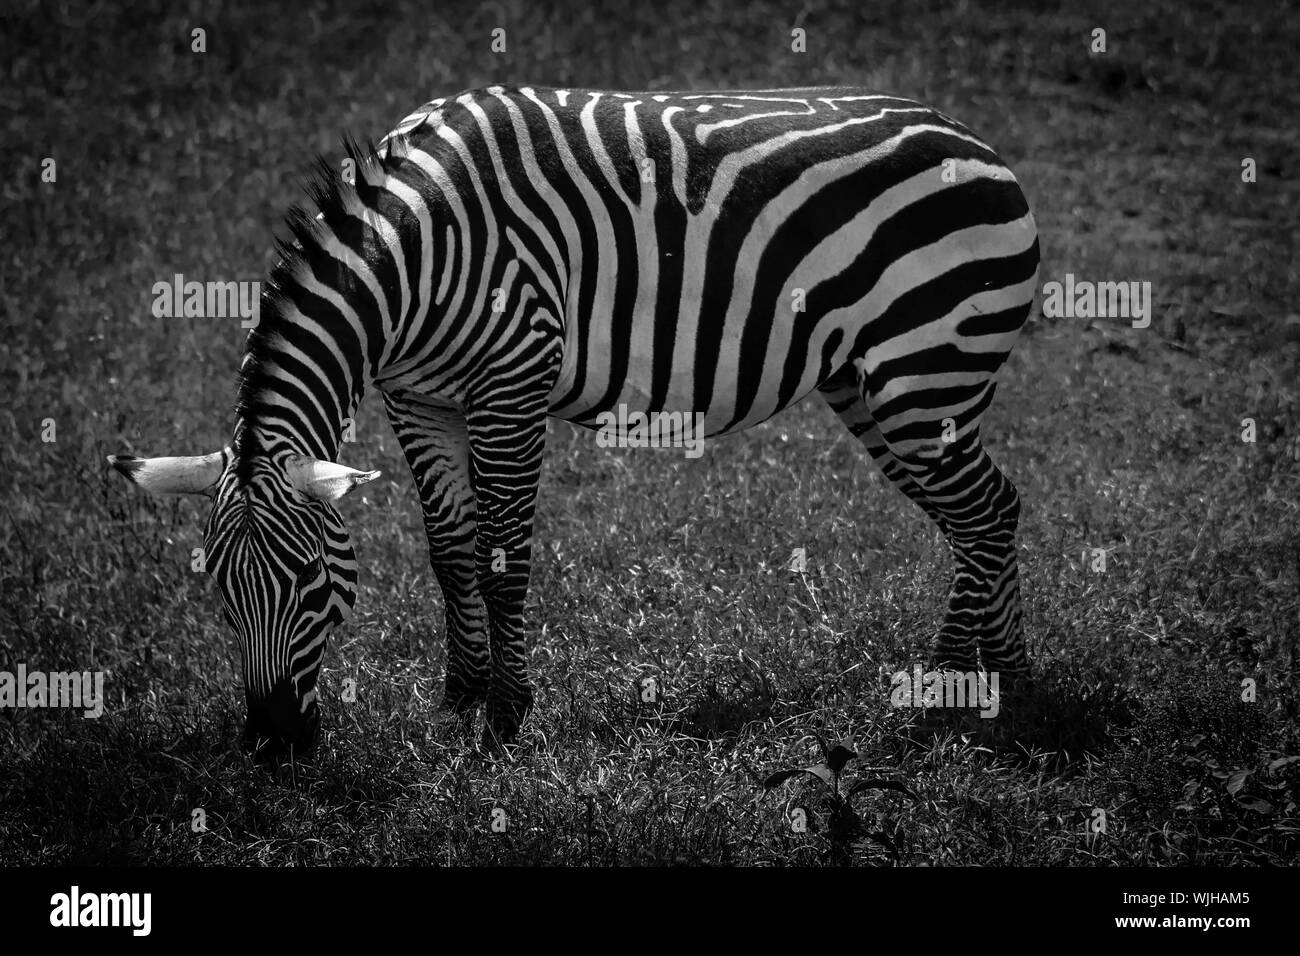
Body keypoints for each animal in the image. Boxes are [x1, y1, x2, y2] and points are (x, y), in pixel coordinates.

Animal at [109, 86, 1040, 754]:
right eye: (217, 589)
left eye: (308, 581)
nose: (273, 748)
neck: (410, 253)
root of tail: (974, 140)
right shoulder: (419, 398)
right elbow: (449, 553)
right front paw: (459, 701)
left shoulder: (512, 385)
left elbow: (502, 558)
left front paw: (506, 719)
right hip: (876, 384)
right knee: (986, 515)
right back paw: (1003, 688)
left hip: (924, 372)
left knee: (986, 513)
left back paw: (940, 699)